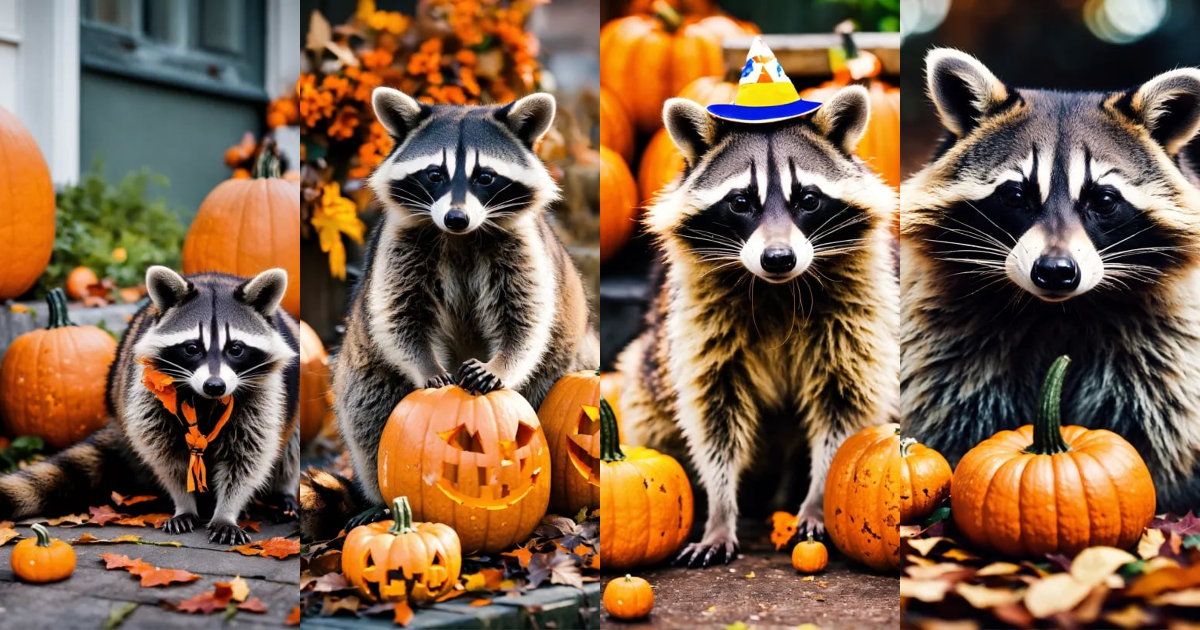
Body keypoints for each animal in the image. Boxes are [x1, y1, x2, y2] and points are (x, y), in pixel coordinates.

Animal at [0, 267, 300, 544]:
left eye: (235, 349)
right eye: (192, 348)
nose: (215, 386)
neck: (205, 400)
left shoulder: (265, 393)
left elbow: (248, 456)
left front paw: (226, 511)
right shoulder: (146, 394)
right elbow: (167, 456)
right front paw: (184, 503)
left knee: (290, 444)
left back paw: (284, 490)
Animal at [312, 88, 598, 535]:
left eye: (485, 176)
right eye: (434, 175)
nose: (456, 217)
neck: (463, 237)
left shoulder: (523, 249)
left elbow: (526, 319)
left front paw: (502, 364)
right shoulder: (398, 245)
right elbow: (399, 317)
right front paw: (426, 365)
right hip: (361, 365)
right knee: (367, 404)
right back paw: (378, 500)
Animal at [616, 87, 899, 567]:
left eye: (808, 199)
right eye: (741, 202)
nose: (779, 258)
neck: (777, 289)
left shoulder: (861, 312)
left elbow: (844, 408)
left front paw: (817, 499)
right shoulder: (699, 324)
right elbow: (713, 417)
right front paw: (719, 509)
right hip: (650, 361)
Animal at [900, 49, 1200, 513]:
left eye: (1104, 200)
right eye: (1016, 195)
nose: (1055, 271)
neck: (1057, 310)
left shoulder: (1164, 347)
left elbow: (1157, 423)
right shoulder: (948, 343)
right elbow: (952, 410)